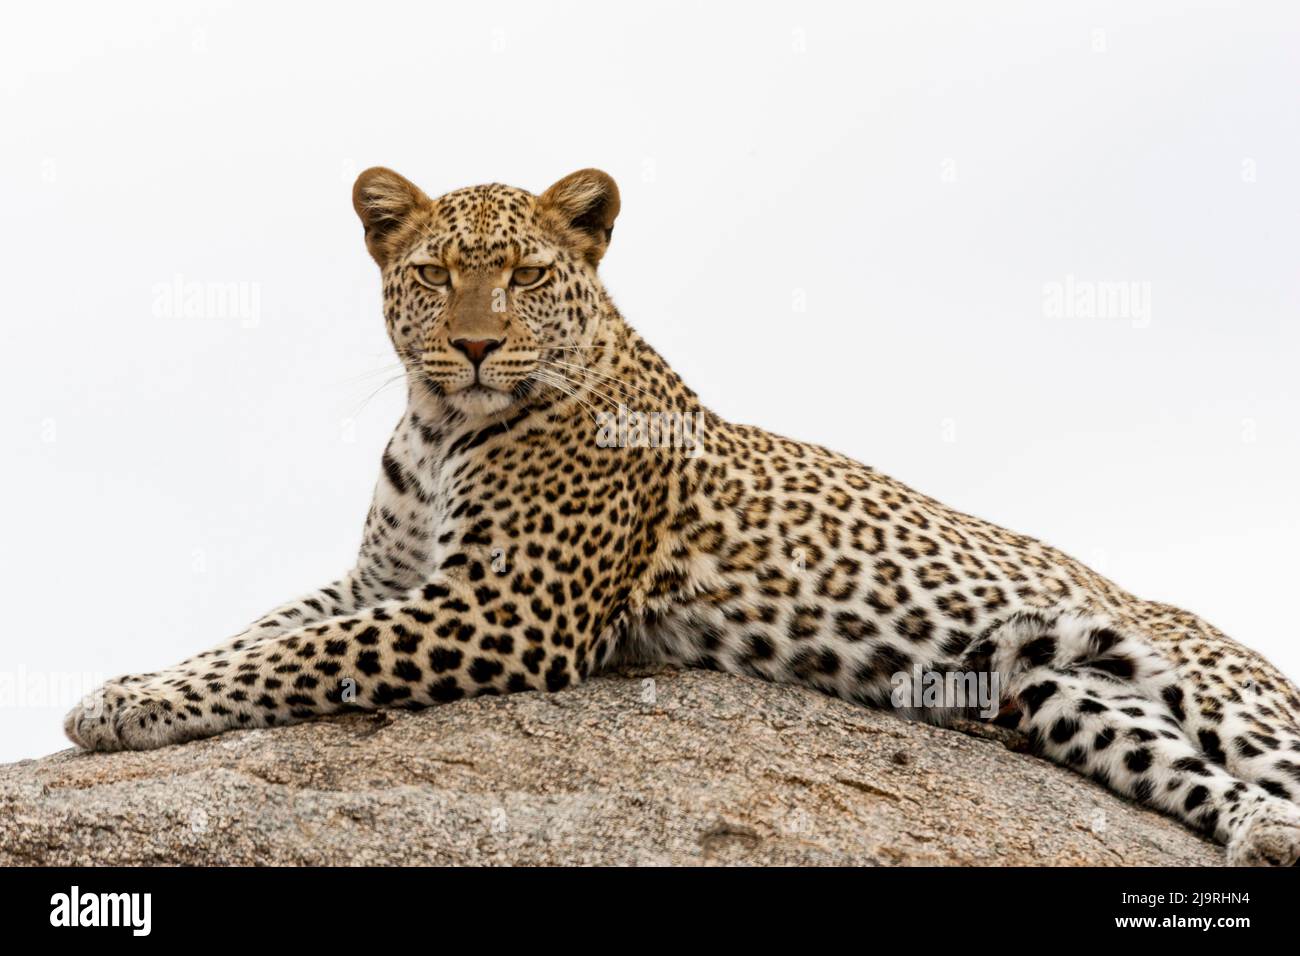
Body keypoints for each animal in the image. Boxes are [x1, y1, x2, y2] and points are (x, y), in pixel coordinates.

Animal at [64, 166, 1300, 866]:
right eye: (432, 274)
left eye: (522, 275)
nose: (473, 344)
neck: (436, 423)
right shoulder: (384, 579)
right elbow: (260, 633)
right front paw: (125, 688)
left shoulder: (504, 607)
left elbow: (298, 655)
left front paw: (126, 706)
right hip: (1069, 694)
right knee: (1194, 772)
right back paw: (1264, 834)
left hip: (1230, 700)